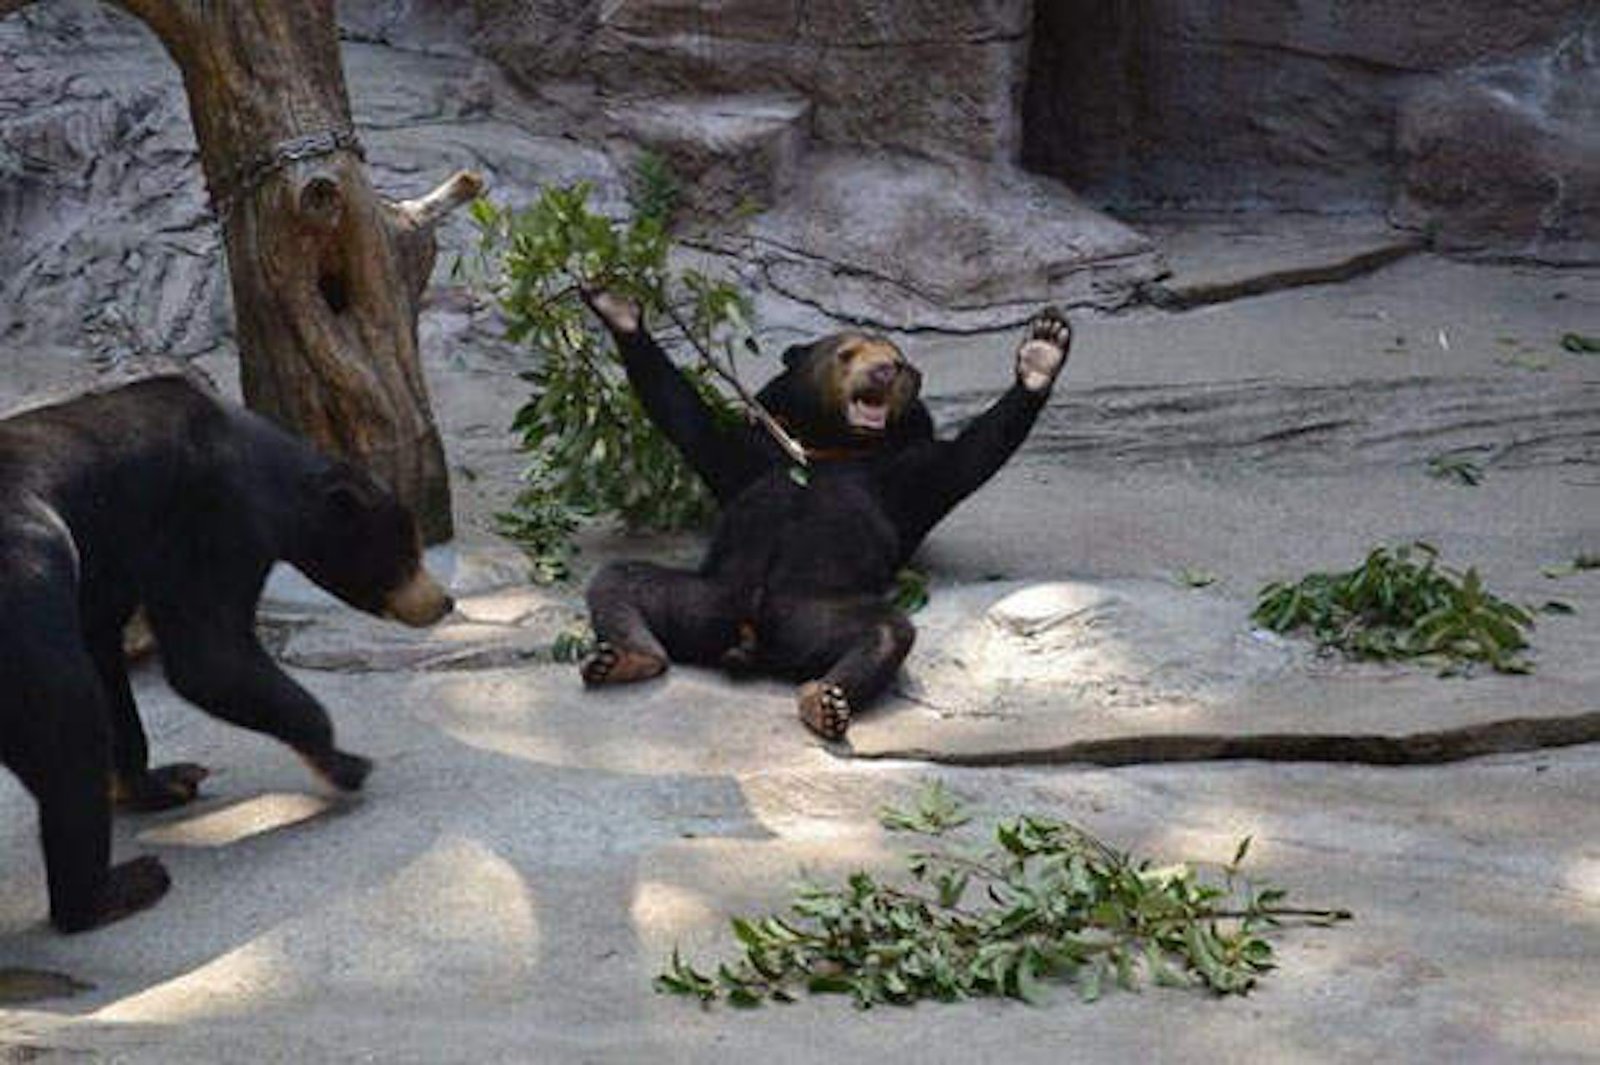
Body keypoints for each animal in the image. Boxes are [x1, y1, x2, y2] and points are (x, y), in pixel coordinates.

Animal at [0, 375, 453, 932]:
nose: (444, 602)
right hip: (23, 589)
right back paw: (120, 887)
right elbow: (209, 653)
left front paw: (163, 780)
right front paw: (345, 762)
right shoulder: (213, 518)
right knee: (68, 724)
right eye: (406, 556)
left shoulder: (111, 561)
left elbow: (107, 650)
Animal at [578, 291, 1071, 740]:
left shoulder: (902, 477)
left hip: (809, 613)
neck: (834, 446)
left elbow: (964, 461)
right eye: (846, 353)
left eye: (897, 360)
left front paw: (1042, 350)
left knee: (884, 632)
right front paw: (618, 306)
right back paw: (623, 659)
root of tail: (748, 638)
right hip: (706, 597)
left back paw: (826, 701)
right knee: (620, 581)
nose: (883, 371)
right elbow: (696, 427)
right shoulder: (759, 451)